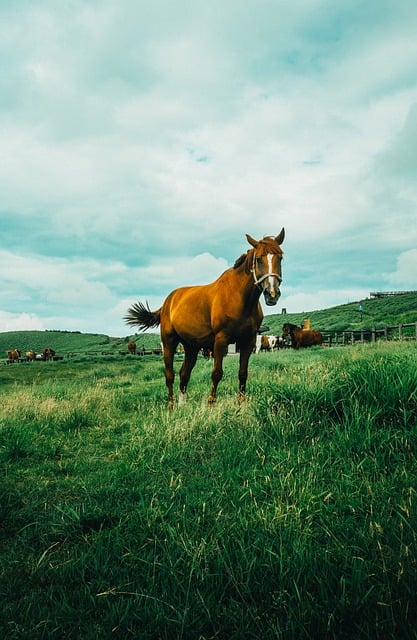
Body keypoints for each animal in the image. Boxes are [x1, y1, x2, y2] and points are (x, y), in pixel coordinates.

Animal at [125, 229, 285, 406]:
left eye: (280, 258)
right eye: (258, 259)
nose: (272, 294)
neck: (238, 297)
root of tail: (167, 303)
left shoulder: (248, 341)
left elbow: (243, 373)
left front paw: (241, 404)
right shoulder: (220, 340)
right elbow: (217, 373)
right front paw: (211, 404)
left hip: (191, 347)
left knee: (184, 374)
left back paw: (182, 405)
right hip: (168, 342)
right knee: (169, 375)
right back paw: (171, 405)